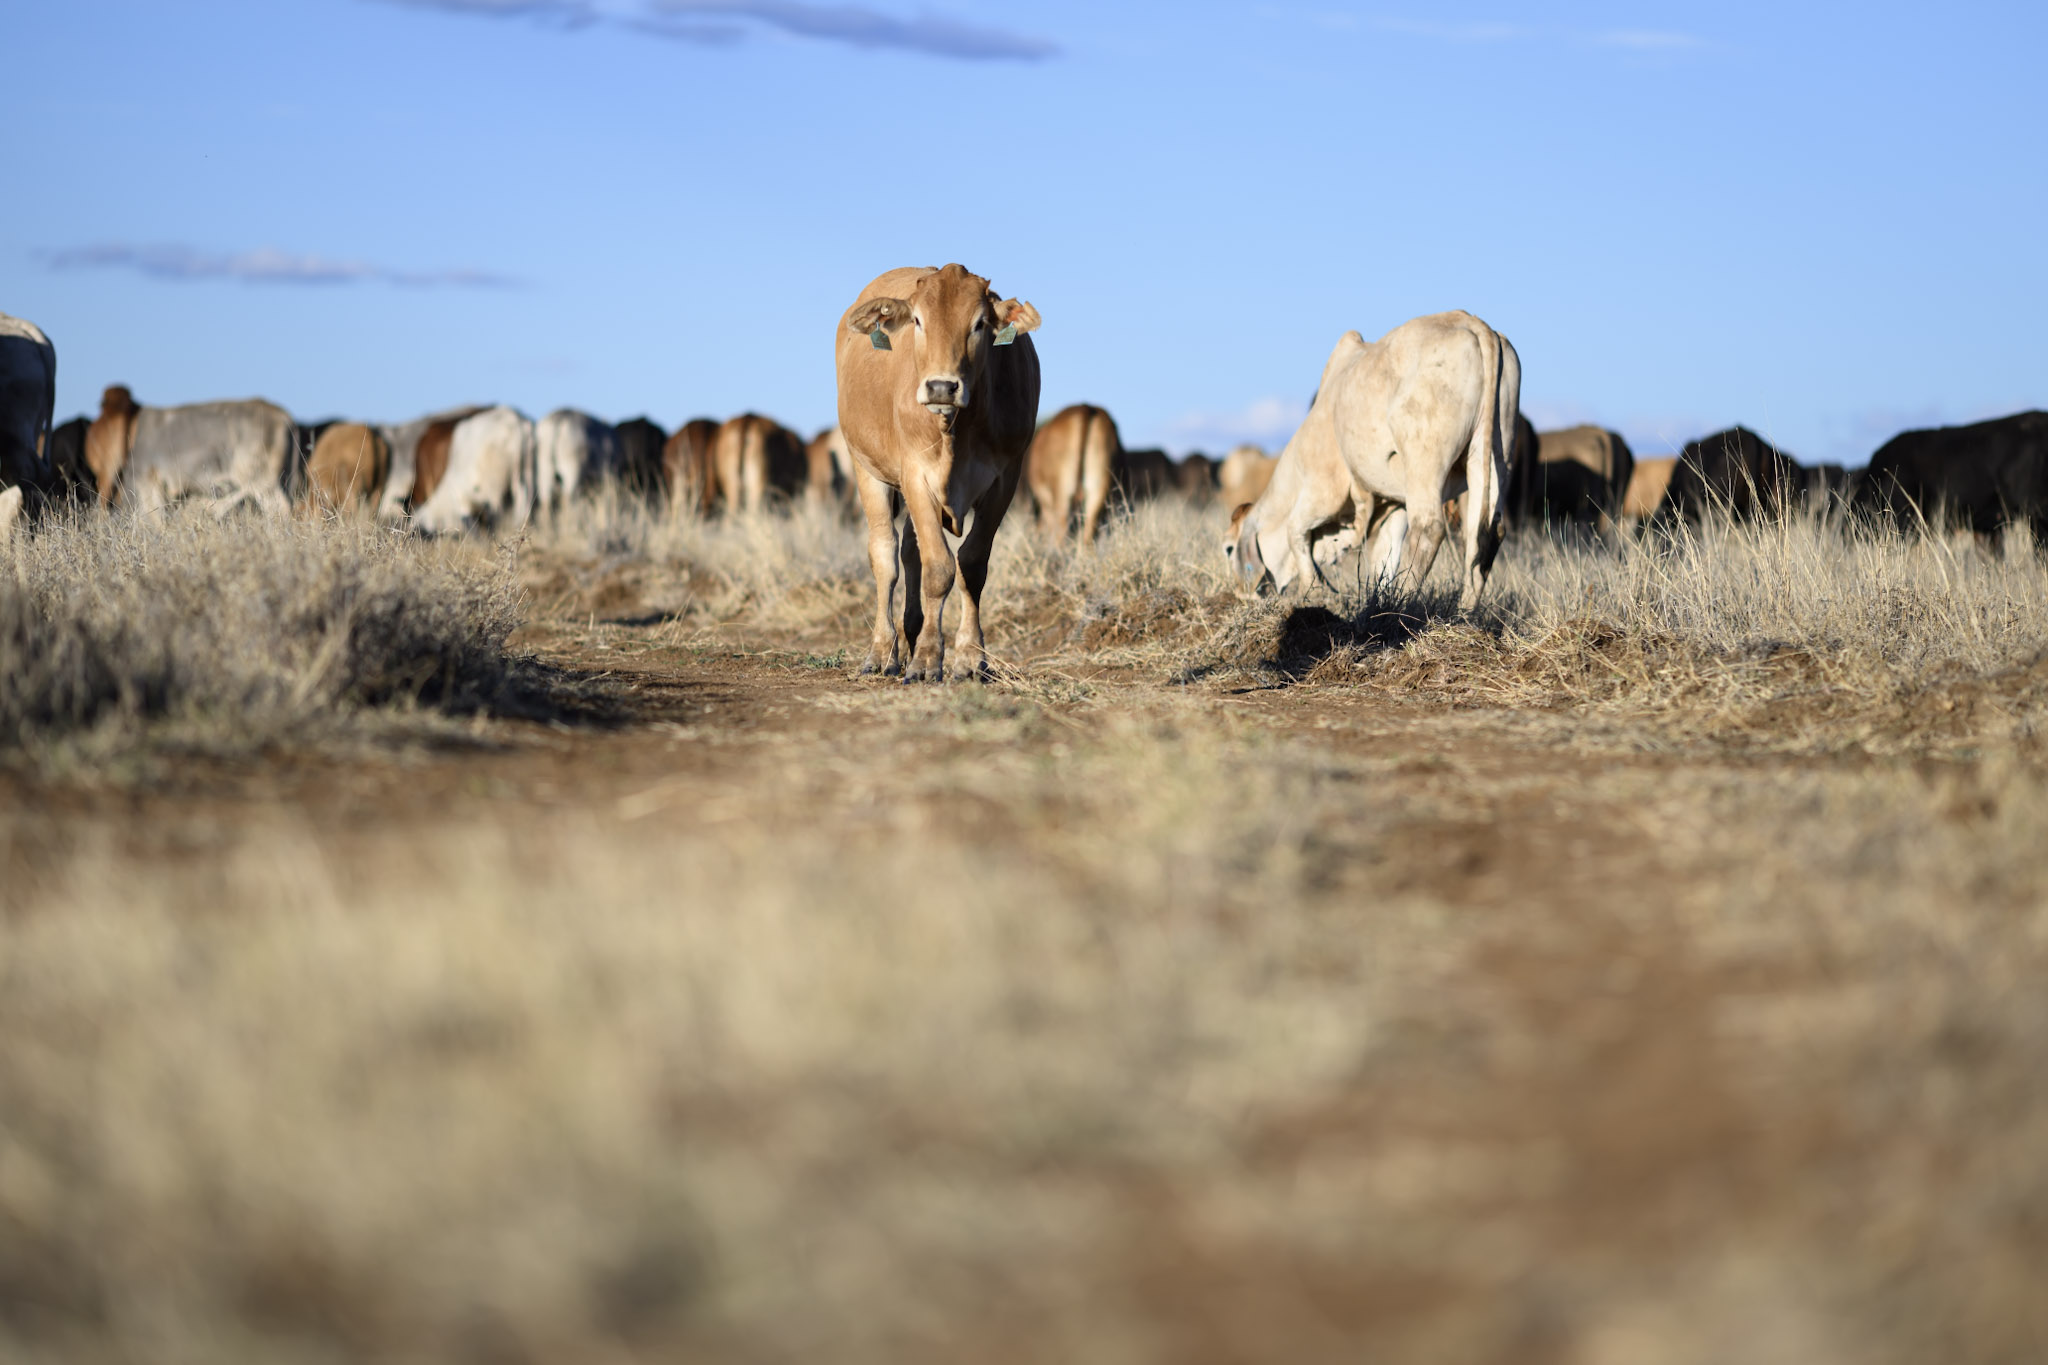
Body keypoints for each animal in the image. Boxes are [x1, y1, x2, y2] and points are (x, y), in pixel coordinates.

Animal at [410, 406, 536, 535]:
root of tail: (514, 420)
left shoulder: (463, 501)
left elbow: (472, 525)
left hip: (496, 484)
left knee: (498, 513)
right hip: (526, 472)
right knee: (525, 504)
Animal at [835, 262, 1041, 681]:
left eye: (980, 323)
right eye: (917, 320)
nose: (942, 387)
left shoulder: (1005, 479)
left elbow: (972, 565)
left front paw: (970, 655)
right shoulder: (915, 474)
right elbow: (938, 568)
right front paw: (929, 658)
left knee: (909, 551)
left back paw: (909, 634)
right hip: (866, 469)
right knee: (885, 556)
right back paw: (883, 652)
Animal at [1227, 311, 1519, 610]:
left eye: (1228, 548)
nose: (1238, 594)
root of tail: (1475, 325)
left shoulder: (1323, 492)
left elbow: (1294, 531)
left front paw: (1312, 591)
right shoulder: (1392, 504)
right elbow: (1384, 560)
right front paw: (1378, 602)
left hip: (1425, 460)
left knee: (1429, 527)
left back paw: (1407, 606)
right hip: (1491, 453)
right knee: (1482, 537)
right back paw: (1465, 612)